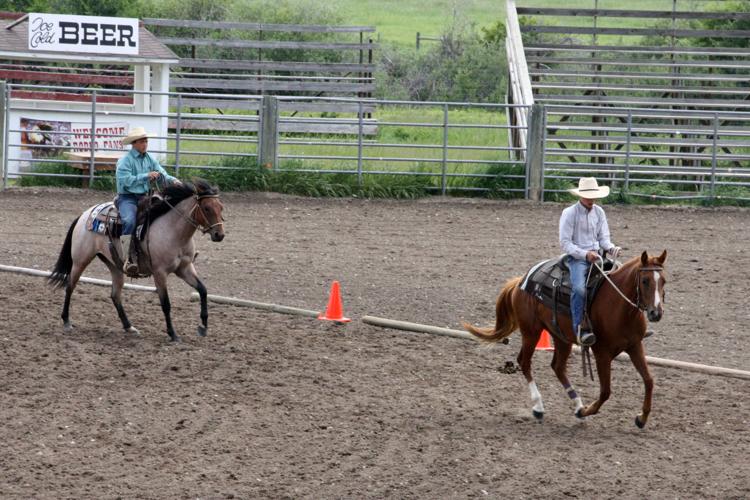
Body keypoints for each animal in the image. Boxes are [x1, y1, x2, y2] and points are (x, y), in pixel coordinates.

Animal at [48, 179, 225, 342]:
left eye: (221, 207)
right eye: (207, 208)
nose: (219, 235)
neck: (173, 231)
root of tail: (85, 214)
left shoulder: (185, 268)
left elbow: (203, 290)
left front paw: (203, 327)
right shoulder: (160, 273)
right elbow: (166, 304)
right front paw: (173, 334)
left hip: (115, 265)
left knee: (115, 295)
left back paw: (129, 326)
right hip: (80, 260)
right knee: (70, 286)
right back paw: (66, 321)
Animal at [464, 250, 667, 428]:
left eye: (664, 281)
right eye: (645, 280)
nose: (656, 313)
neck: (618, 307)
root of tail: (521, 281)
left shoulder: (634, 346)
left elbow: (649, 381)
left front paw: (641, 418)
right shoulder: (601, 353)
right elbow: (605, 392)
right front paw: (586, 411)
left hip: (561, 337)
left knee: (557, 367)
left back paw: (577, 404)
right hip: (531, 332)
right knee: (524, 362)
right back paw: (539, 406)